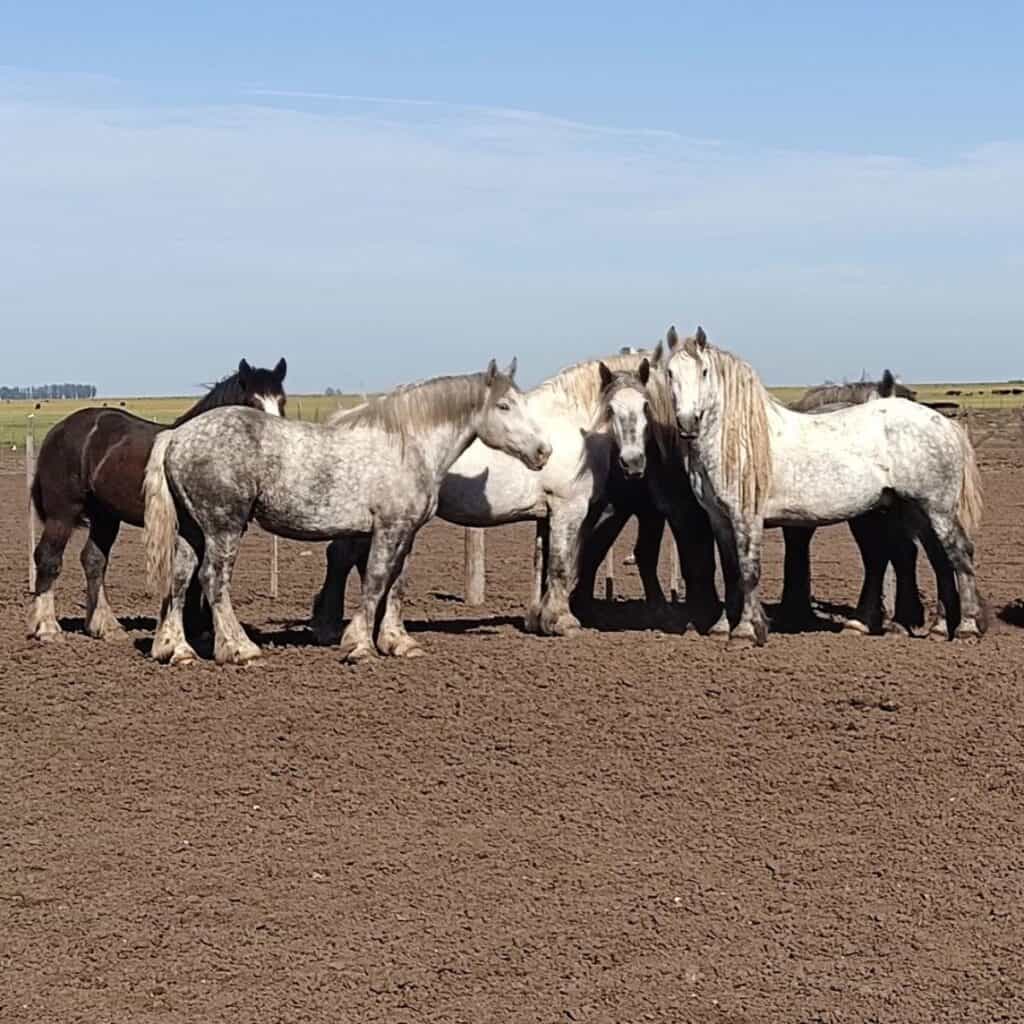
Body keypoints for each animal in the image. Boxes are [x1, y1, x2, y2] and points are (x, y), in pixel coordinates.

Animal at [28, 358, 287, 642]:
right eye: (251, 402)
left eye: (282, 401)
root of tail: (58, 430)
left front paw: (202, 628)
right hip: (62, 513)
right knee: (48, 558)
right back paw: (47, 628)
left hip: (105, 517)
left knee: (94, 561)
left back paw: (105, 626)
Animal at [143, 360, 551, 666]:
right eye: (504, 406)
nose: (543, 451)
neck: (406, 445)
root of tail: (177, 437)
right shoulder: (388, 528)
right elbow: (375, 581)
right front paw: (360, 645)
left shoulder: (407, 532)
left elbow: (396, 585)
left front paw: (398, 642)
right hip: (223, 528)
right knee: (213, 580)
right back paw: (240, 649)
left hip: (193, 531)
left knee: (179, 578)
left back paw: (176, 650)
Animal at [309, 352, 722, 647]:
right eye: (612, 410)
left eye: (646, 408)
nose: (634, 463)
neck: (573, 426)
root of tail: (343, 419)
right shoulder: (568, 510)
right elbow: (562, 564)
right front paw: (563, 622)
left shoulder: (545, 515)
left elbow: (543, 565)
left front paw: (537, 619)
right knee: (342, 558)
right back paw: (330, 626)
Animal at [666, 328, 984, 647]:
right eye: (669, 372)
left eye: (704, 371)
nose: (687, 423)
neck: (738, 440)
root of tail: (944, 424)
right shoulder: (719, 518)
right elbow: (730, 571)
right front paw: (722, 627)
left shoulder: (746, 517)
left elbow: (748, 570)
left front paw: (745, 632)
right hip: (912, 510)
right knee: (938, 560)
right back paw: (937, 628)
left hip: (937, 509)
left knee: (960, 554)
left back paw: (966, 628)